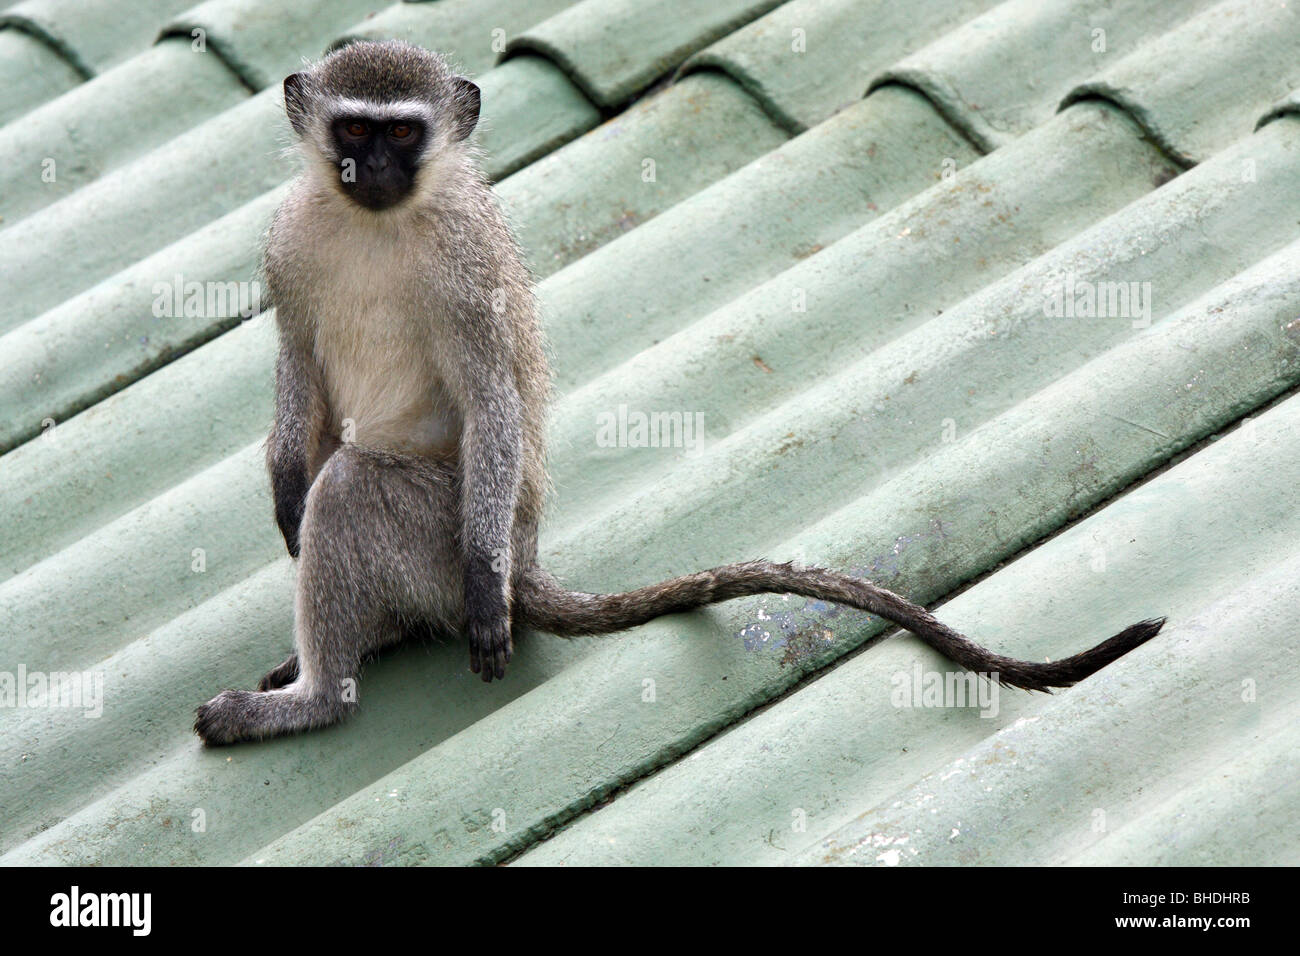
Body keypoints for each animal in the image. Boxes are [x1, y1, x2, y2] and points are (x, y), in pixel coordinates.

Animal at [193, 40, 1165, 746]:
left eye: (402, 135)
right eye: (353, 133)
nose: (375, 172)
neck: (381, 224)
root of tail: (533, 564)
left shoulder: (469, 272)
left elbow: (493, 400)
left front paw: (476, 580)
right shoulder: (288, 244)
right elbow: (297, 356)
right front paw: (280, 477)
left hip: (435, 526)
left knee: (355, 489)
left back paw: (325, 693)